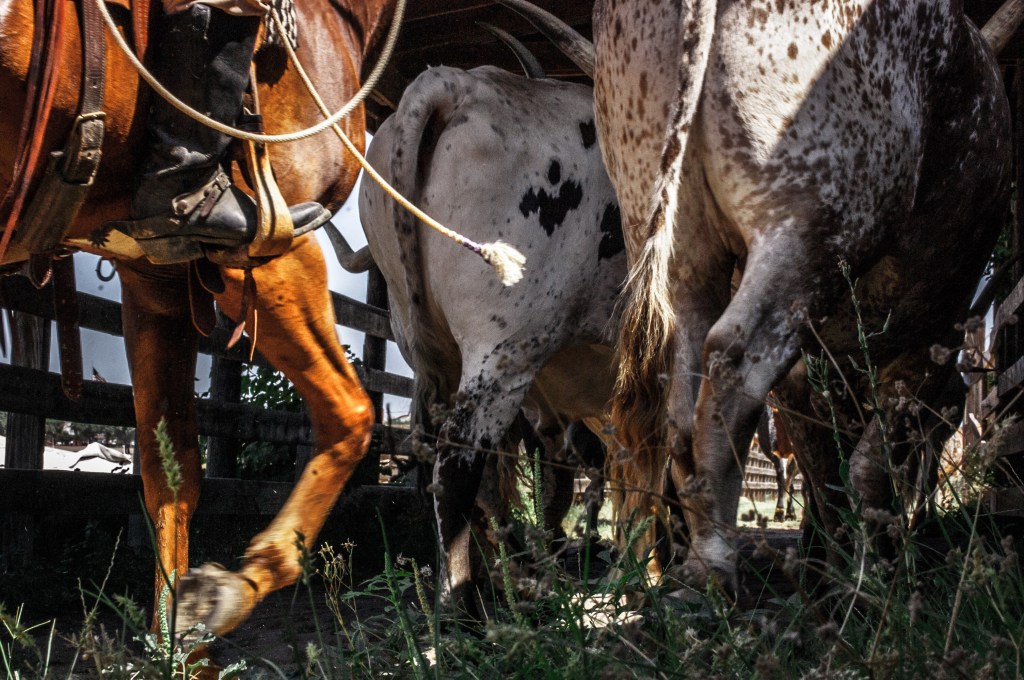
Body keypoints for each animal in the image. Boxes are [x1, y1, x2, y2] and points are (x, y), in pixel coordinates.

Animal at [0, 0, 396, 636]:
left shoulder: (156, 280)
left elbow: (173, 472)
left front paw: (177, 634)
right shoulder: (274, 249)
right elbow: (350, 414)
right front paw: (238, 584)